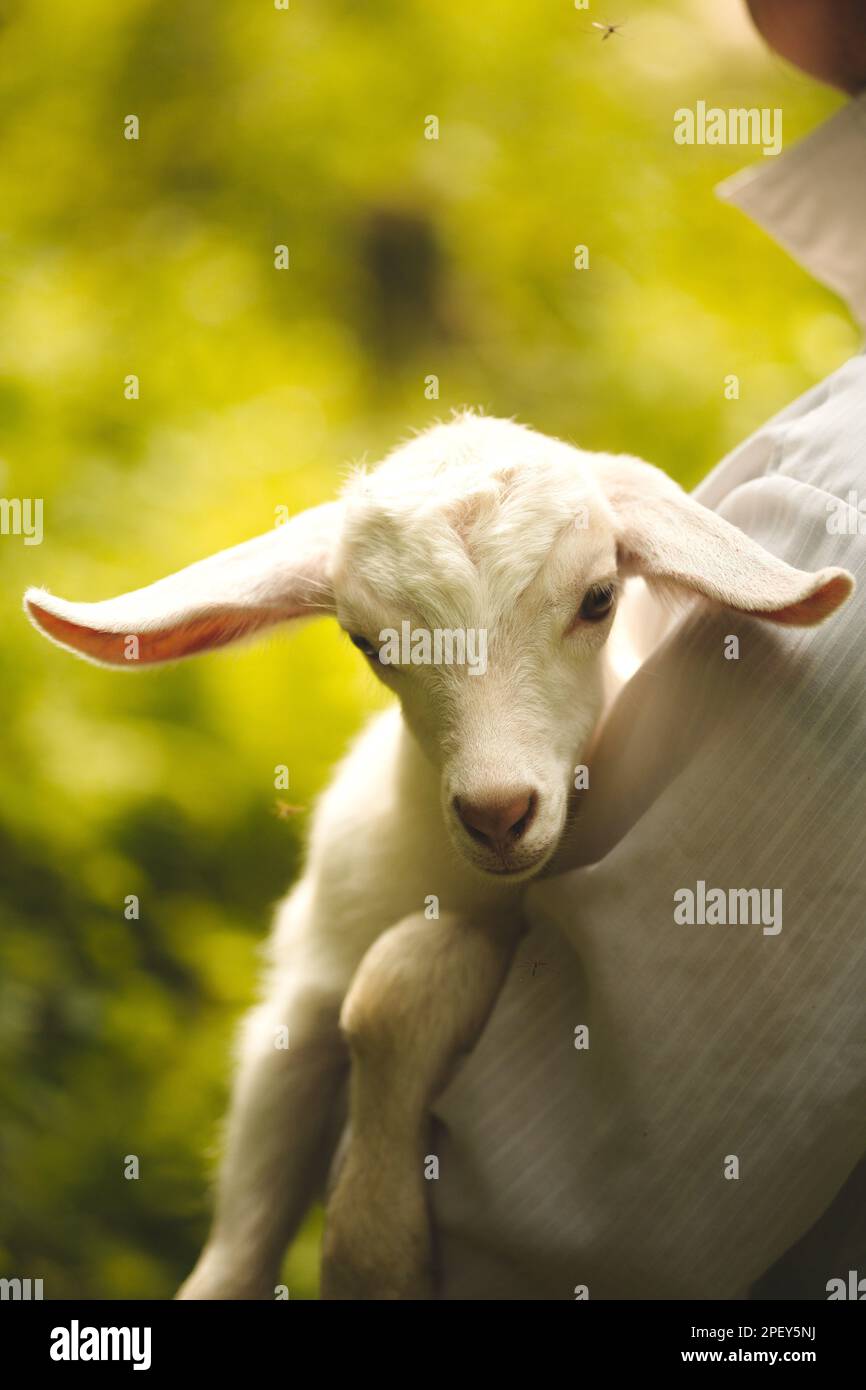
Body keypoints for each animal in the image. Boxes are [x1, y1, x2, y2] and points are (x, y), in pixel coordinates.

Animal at [24, 413, 854, 1299]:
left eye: (598, 599)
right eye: (364, 640)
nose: (497, 813)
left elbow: (400, 979)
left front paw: (371, 1248)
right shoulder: (300, 992)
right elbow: (237, 1246)